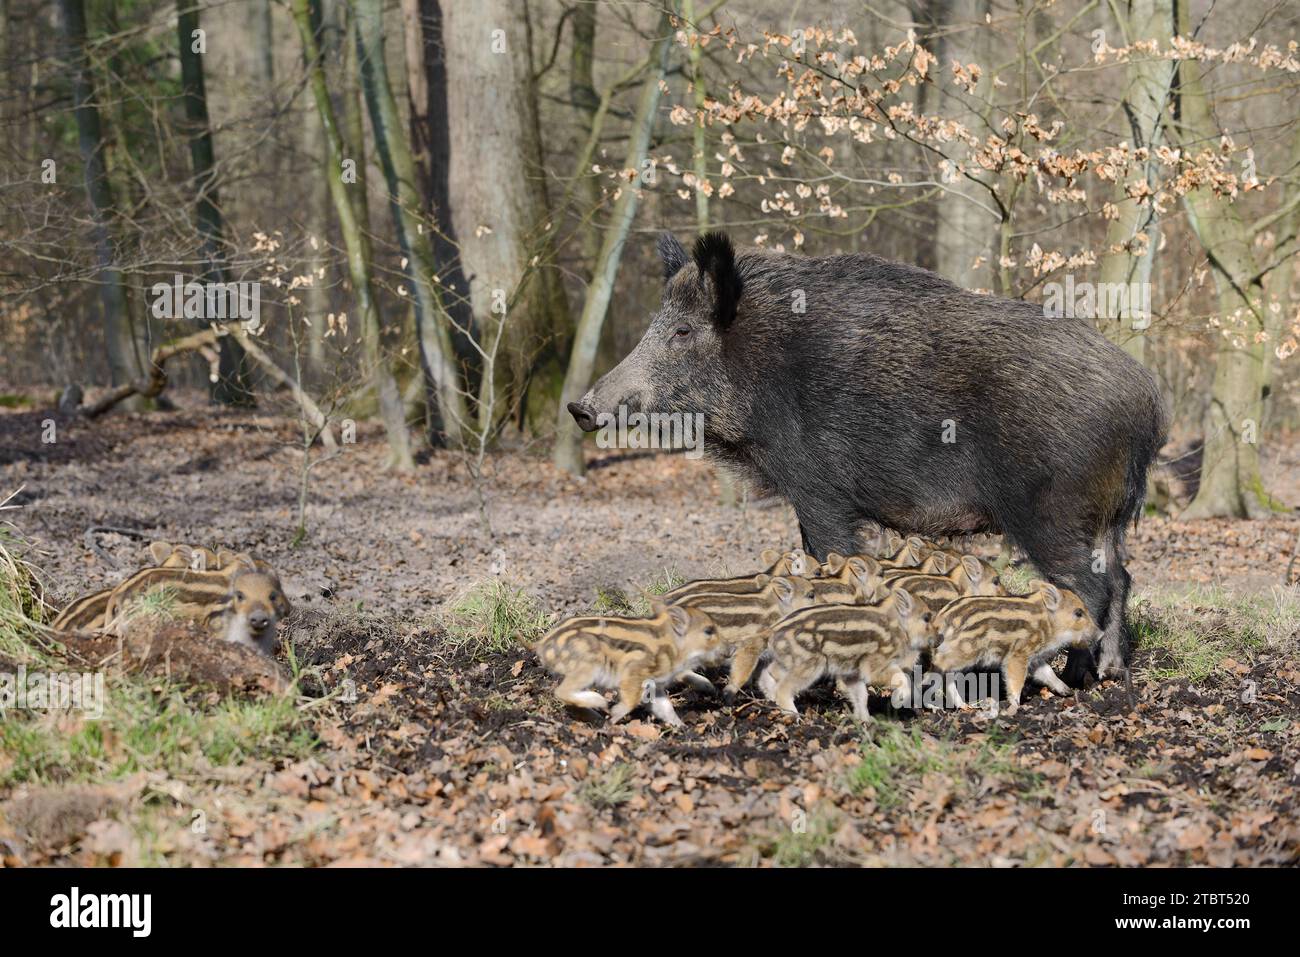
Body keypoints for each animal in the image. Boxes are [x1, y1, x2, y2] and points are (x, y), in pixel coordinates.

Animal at [567, 231, 1167, 688]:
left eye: (683, 330)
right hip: (1106, 516)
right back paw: (1112, 672)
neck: (762, 374)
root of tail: (1145, 400)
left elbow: (830, 554)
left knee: (1090, 587)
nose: (580, 407)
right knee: (1122, 576)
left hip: (1052, 511)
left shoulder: (817, 488)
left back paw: (1076, 675)